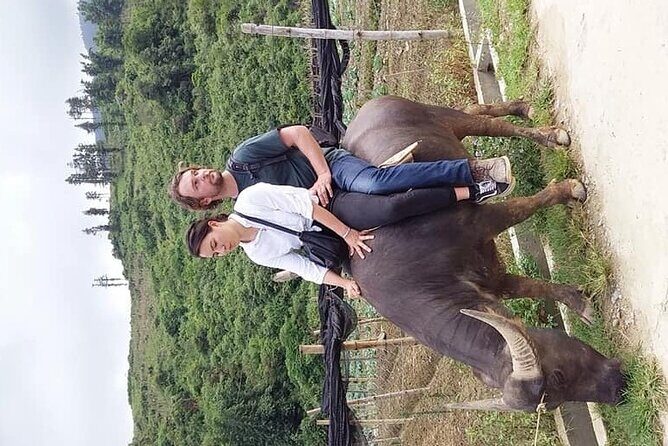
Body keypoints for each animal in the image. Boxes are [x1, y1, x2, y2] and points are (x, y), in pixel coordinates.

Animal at [341, 96, 625, 411]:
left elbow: (524, 206)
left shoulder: (482, 221)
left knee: (491, 125)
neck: (415, 273)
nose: (618, 388)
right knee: (475, 110)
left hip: (444, 118)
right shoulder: (491, 280)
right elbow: (535, 287)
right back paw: (523, 110)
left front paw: (570, 189)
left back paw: (549, 135)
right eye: (555, 390)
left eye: (558, 376)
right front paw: (579, 303)